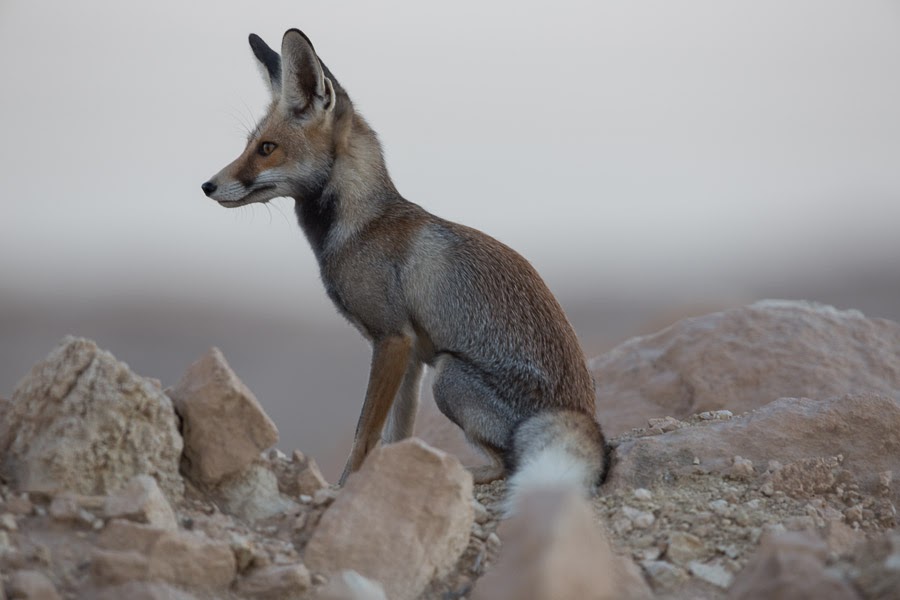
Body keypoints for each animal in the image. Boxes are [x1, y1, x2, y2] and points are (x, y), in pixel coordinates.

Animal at [201, 29, 608, 511]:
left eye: (267, 149)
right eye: (249, 144)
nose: (206, 186)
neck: (360, 227)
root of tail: (585, 417)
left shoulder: (392, 339)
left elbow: (365, 433)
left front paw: (346, 489)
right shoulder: (411, 357)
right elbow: (398, 436)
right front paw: (398, 479)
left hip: (448, 376)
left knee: (506, 464)